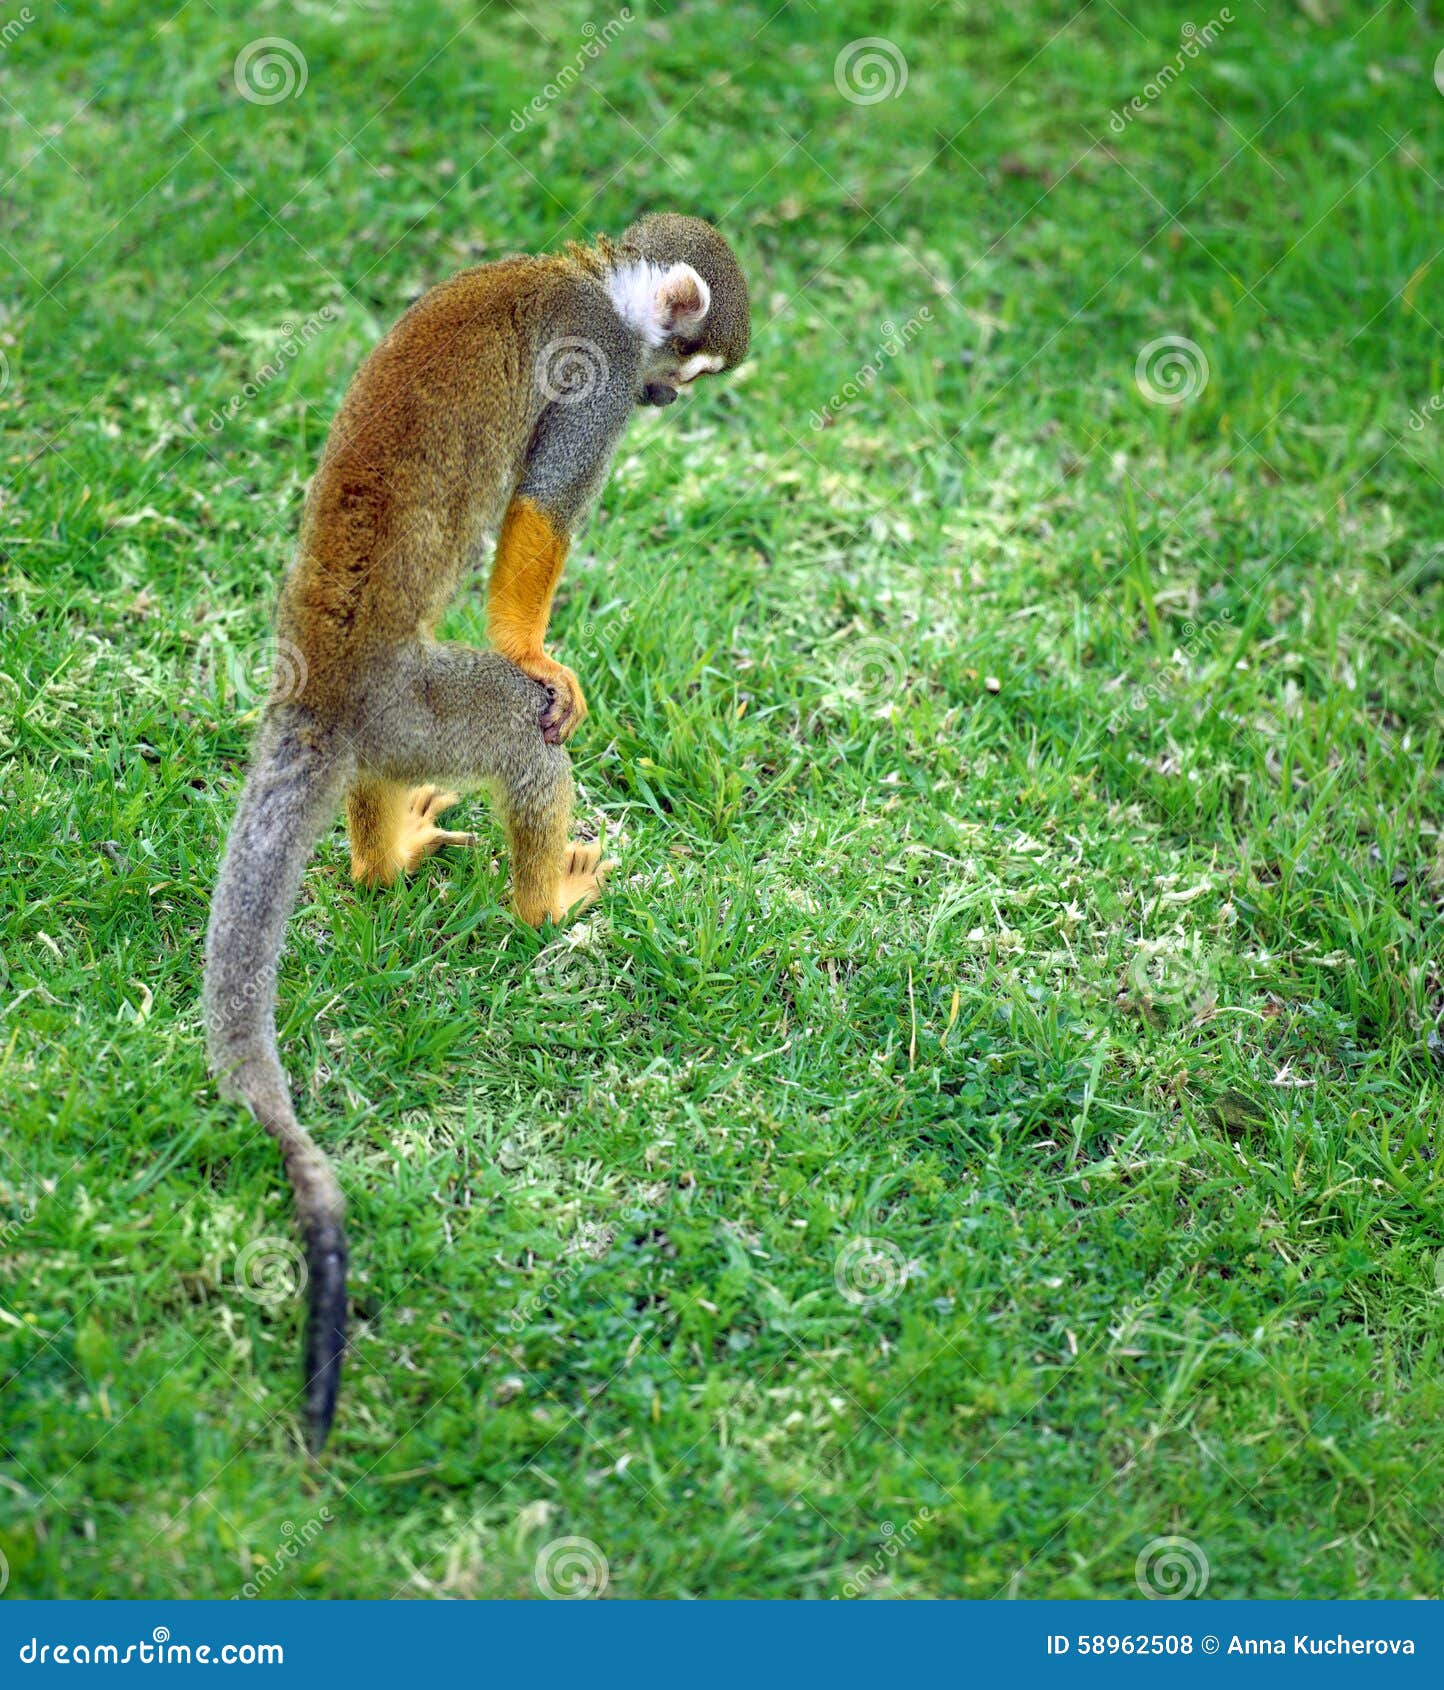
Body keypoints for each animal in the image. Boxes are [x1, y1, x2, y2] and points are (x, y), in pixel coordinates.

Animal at [202, 213, 750, 1454]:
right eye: (681, 369)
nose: (666, 402)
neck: (592, 276)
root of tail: (316, 689)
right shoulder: (597, 361)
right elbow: (538, 515)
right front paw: (537, 651)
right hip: (423, 701)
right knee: (522, 742)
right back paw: (543, 904)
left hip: (391, 719)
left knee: (379, 779)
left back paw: (380, 854)